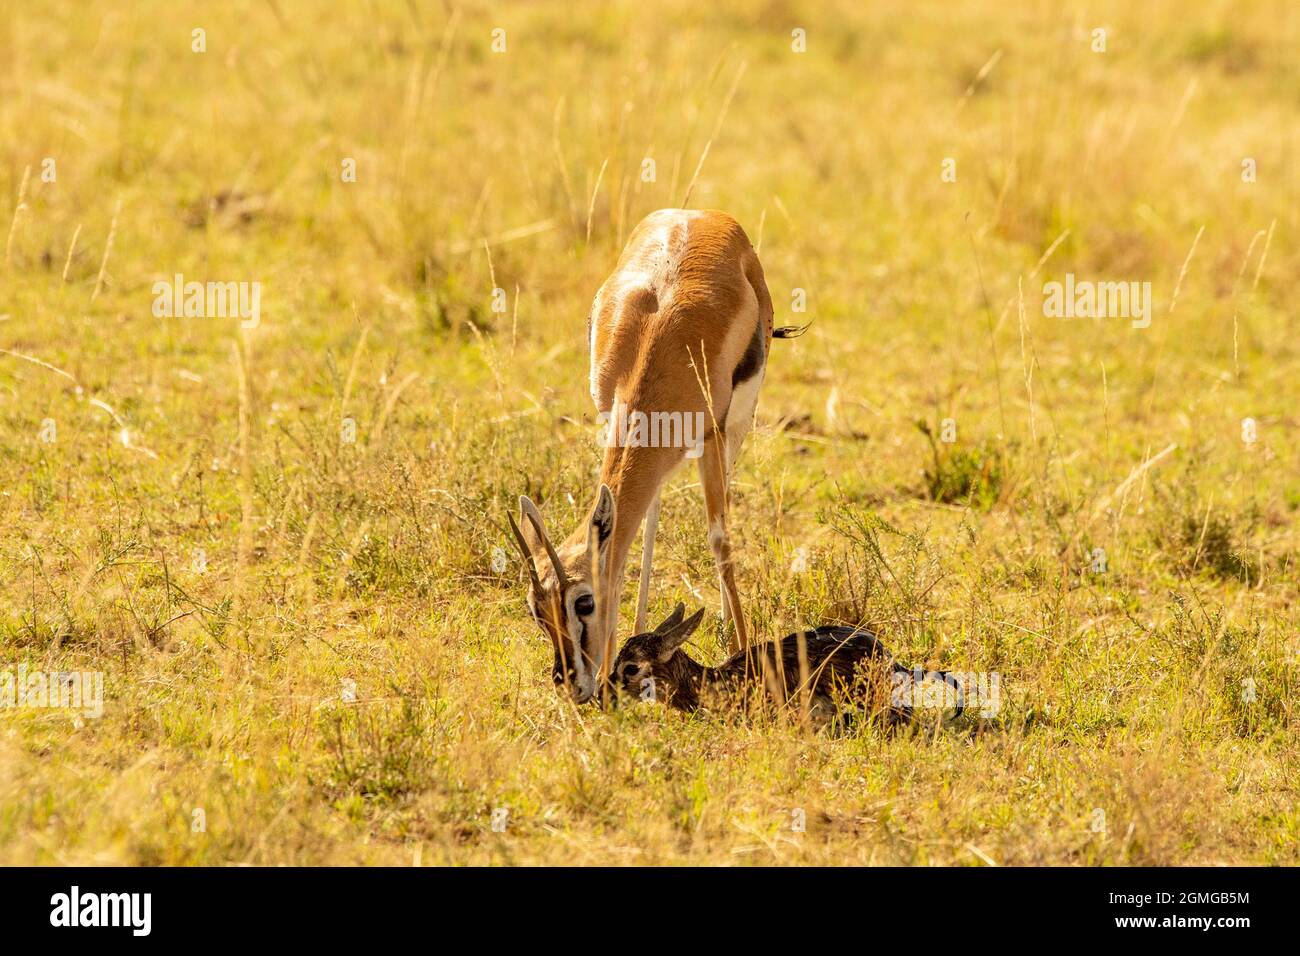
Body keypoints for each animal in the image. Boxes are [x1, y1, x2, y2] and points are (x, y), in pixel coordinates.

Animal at [508, 208, 800, 704]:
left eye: (584, 601)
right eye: (535, 609)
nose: (571, 683)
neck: (655, 347)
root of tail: (702, 214)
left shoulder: (714, 435)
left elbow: (720, 538)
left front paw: (741, 657)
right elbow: (632, 538)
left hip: (735, 430)